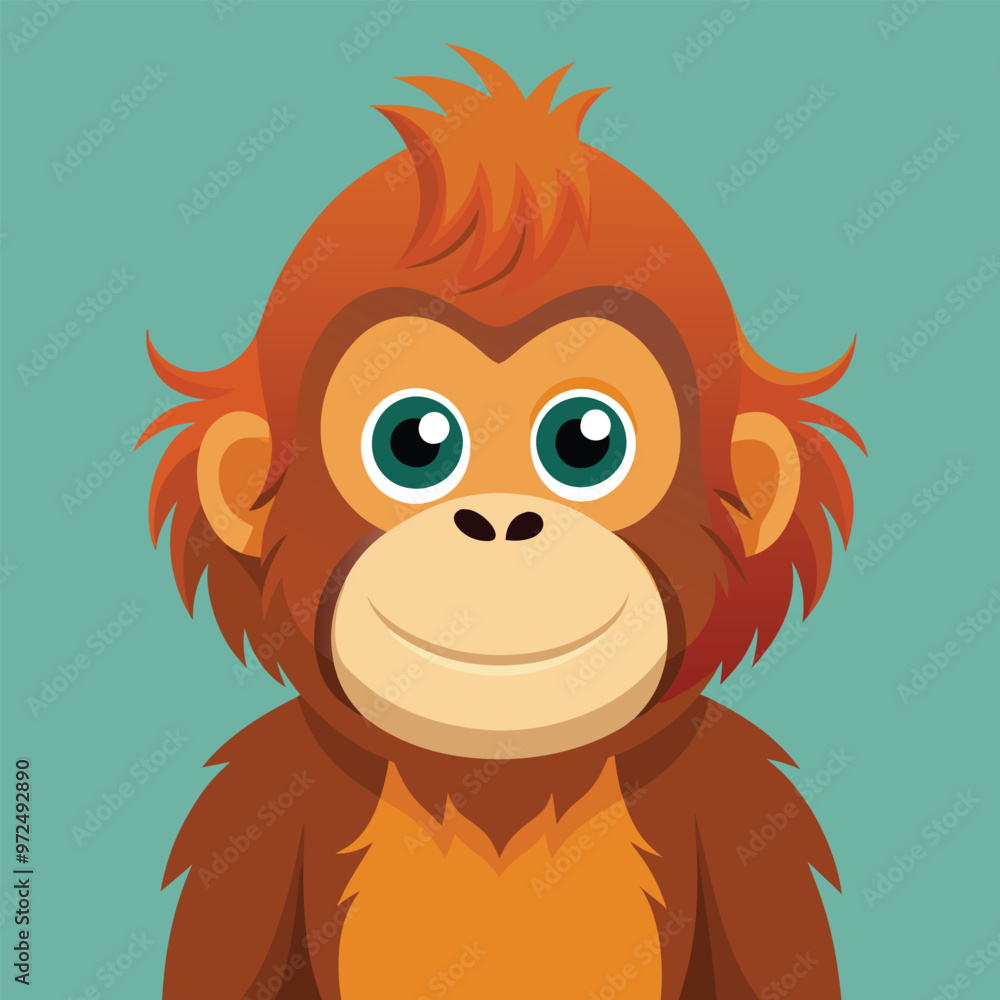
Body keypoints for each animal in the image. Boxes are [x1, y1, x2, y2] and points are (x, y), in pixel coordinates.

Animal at [141, 47, 862, 999]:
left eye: (586, 440)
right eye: (413, 441)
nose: (499, 522)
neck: (500, 780)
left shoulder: (747, 805)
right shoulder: (252, 807)